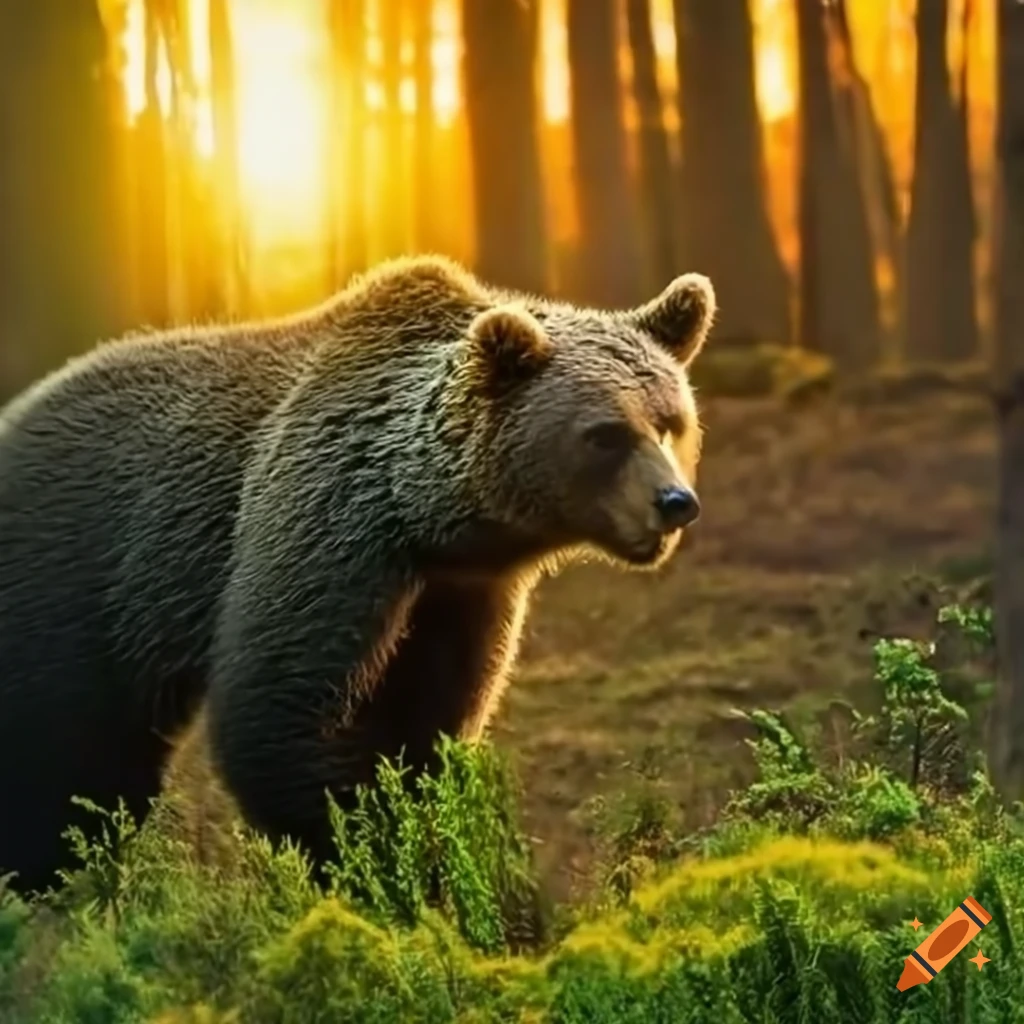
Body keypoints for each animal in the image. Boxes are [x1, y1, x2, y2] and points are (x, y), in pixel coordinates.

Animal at [0, 255, 716, 893]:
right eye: (605, 434)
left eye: (671, 422)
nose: (676, 502)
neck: (430, 517)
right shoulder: (327, 519)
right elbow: (279, 704)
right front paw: (360, 850)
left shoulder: (459, 594)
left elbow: (431, 720)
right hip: (71, 582)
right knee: (68, 754)